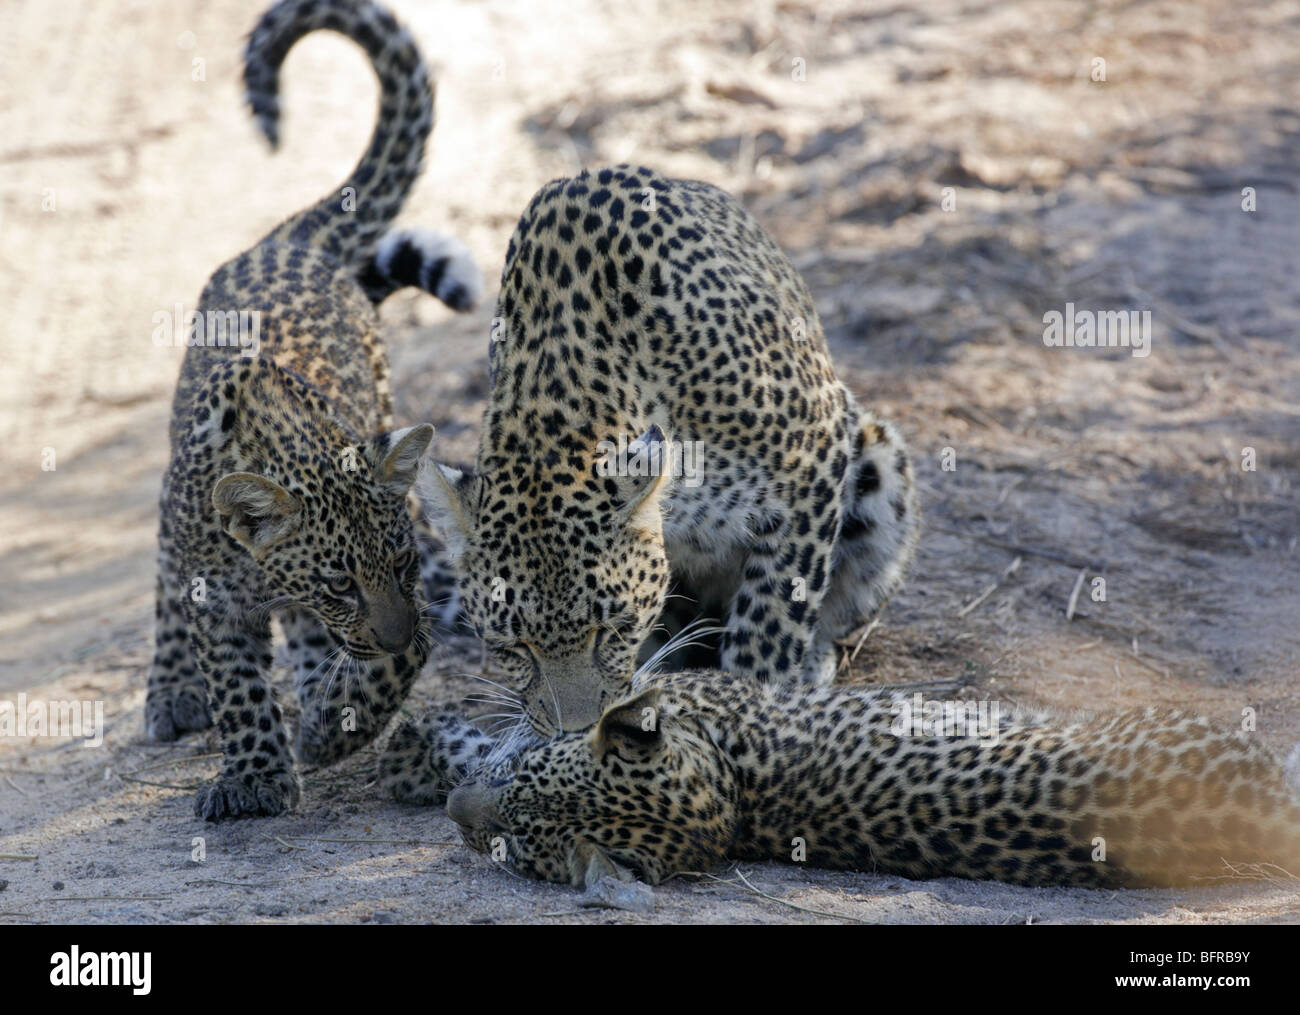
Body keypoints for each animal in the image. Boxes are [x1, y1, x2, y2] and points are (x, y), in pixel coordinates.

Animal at [144, 0, 481, 821]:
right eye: (338, 582)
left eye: (400, 564)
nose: (389, 632)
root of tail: (288, 240)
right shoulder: (222, 602)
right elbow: (237, 686)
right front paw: (255, 776)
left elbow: (382, 665)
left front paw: (334, 722)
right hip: (170, 510)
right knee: (166, 581)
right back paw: (171, 691)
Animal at [421, 164, 920, 738]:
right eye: (513, 646)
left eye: (611, 628)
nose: (576, 731)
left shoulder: (813, 454)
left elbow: (772, 623)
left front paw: (755, 700)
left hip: (878, 461)